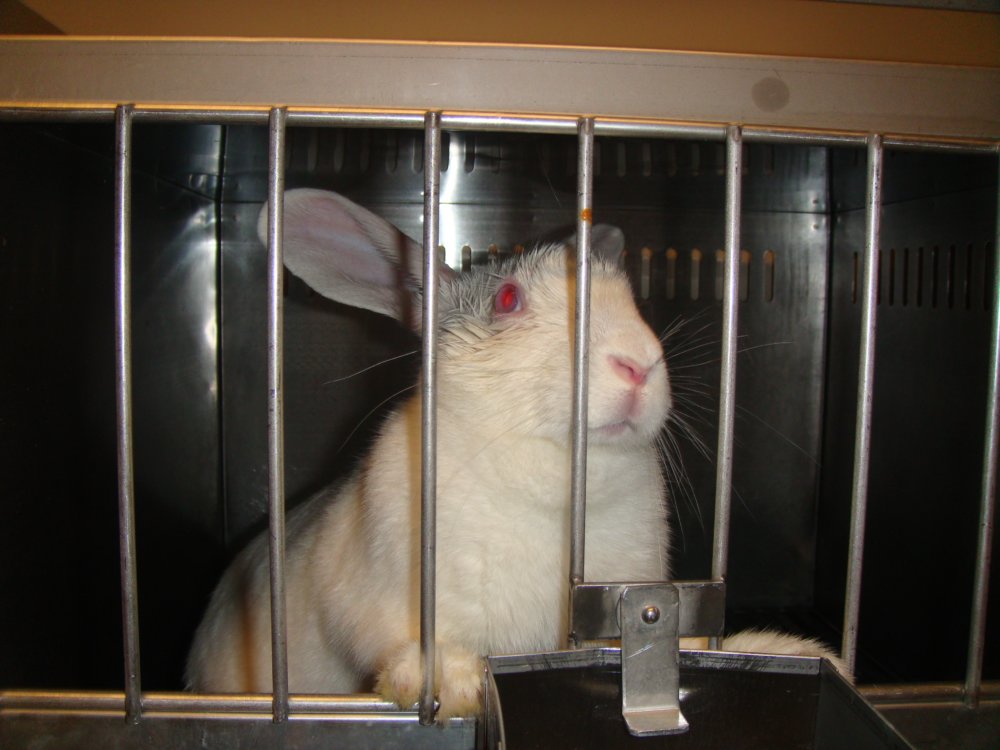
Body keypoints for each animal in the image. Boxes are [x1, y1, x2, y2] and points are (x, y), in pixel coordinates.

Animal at [185, 188, 845, 719]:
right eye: (506, 300)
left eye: (631, 298)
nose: (638, 365)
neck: (561, 483)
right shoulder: (363, 595)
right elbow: (394, 640)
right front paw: (446, 682)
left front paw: (794, 651)